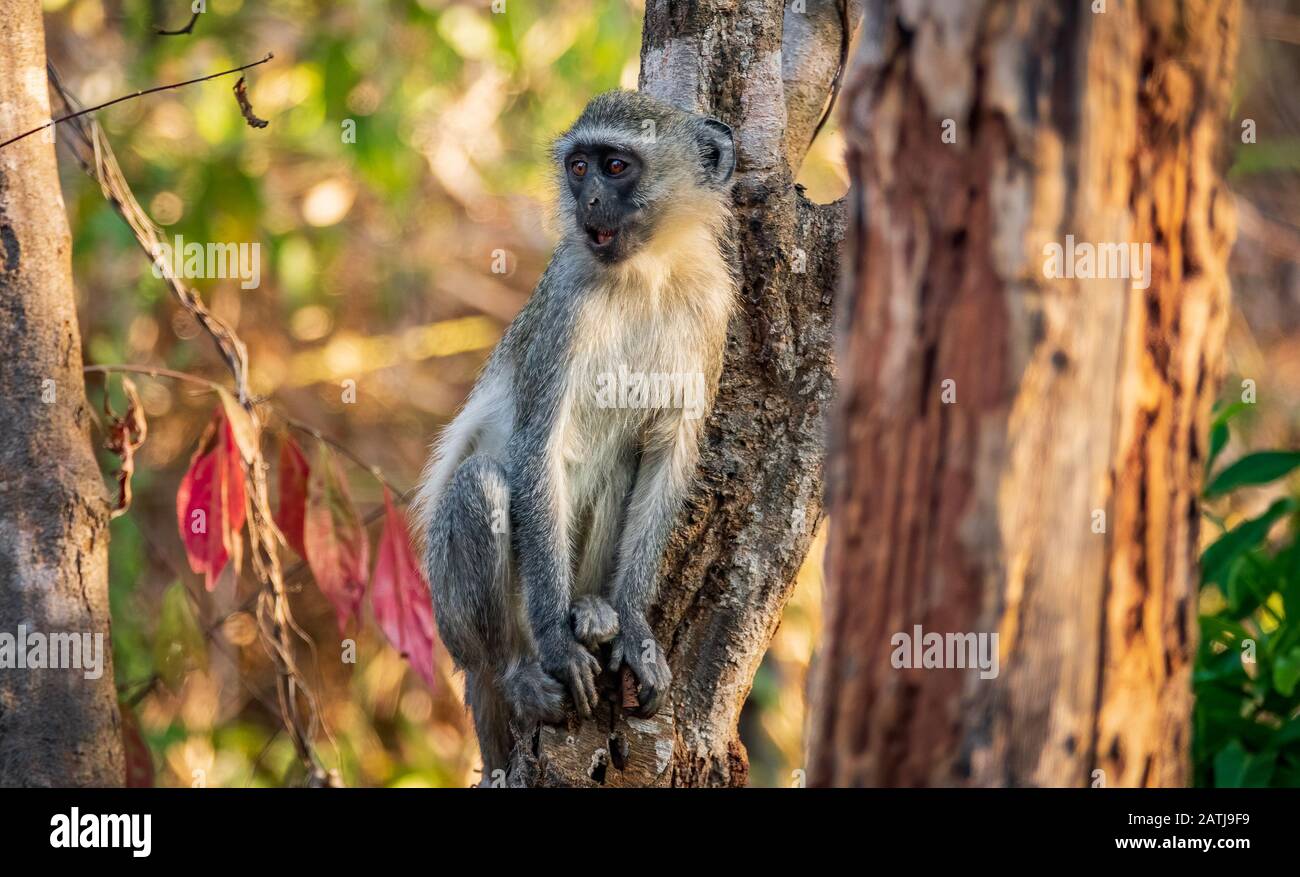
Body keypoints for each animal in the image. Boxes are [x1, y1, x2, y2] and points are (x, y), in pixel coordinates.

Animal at [413, 90, 738, 781]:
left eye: (615, 167)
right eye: (579, 168)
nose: (587, 201)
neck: (650, 273)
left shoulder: (712, 304)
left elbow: (668, 454)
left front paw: (637, 632)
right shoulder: (567, 302)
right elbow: (539, 445)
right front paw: (562, 649)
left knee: (617, 468)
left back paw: (592, 610)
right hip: (450, 615)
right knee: (482, 483)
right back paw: (518, 669)